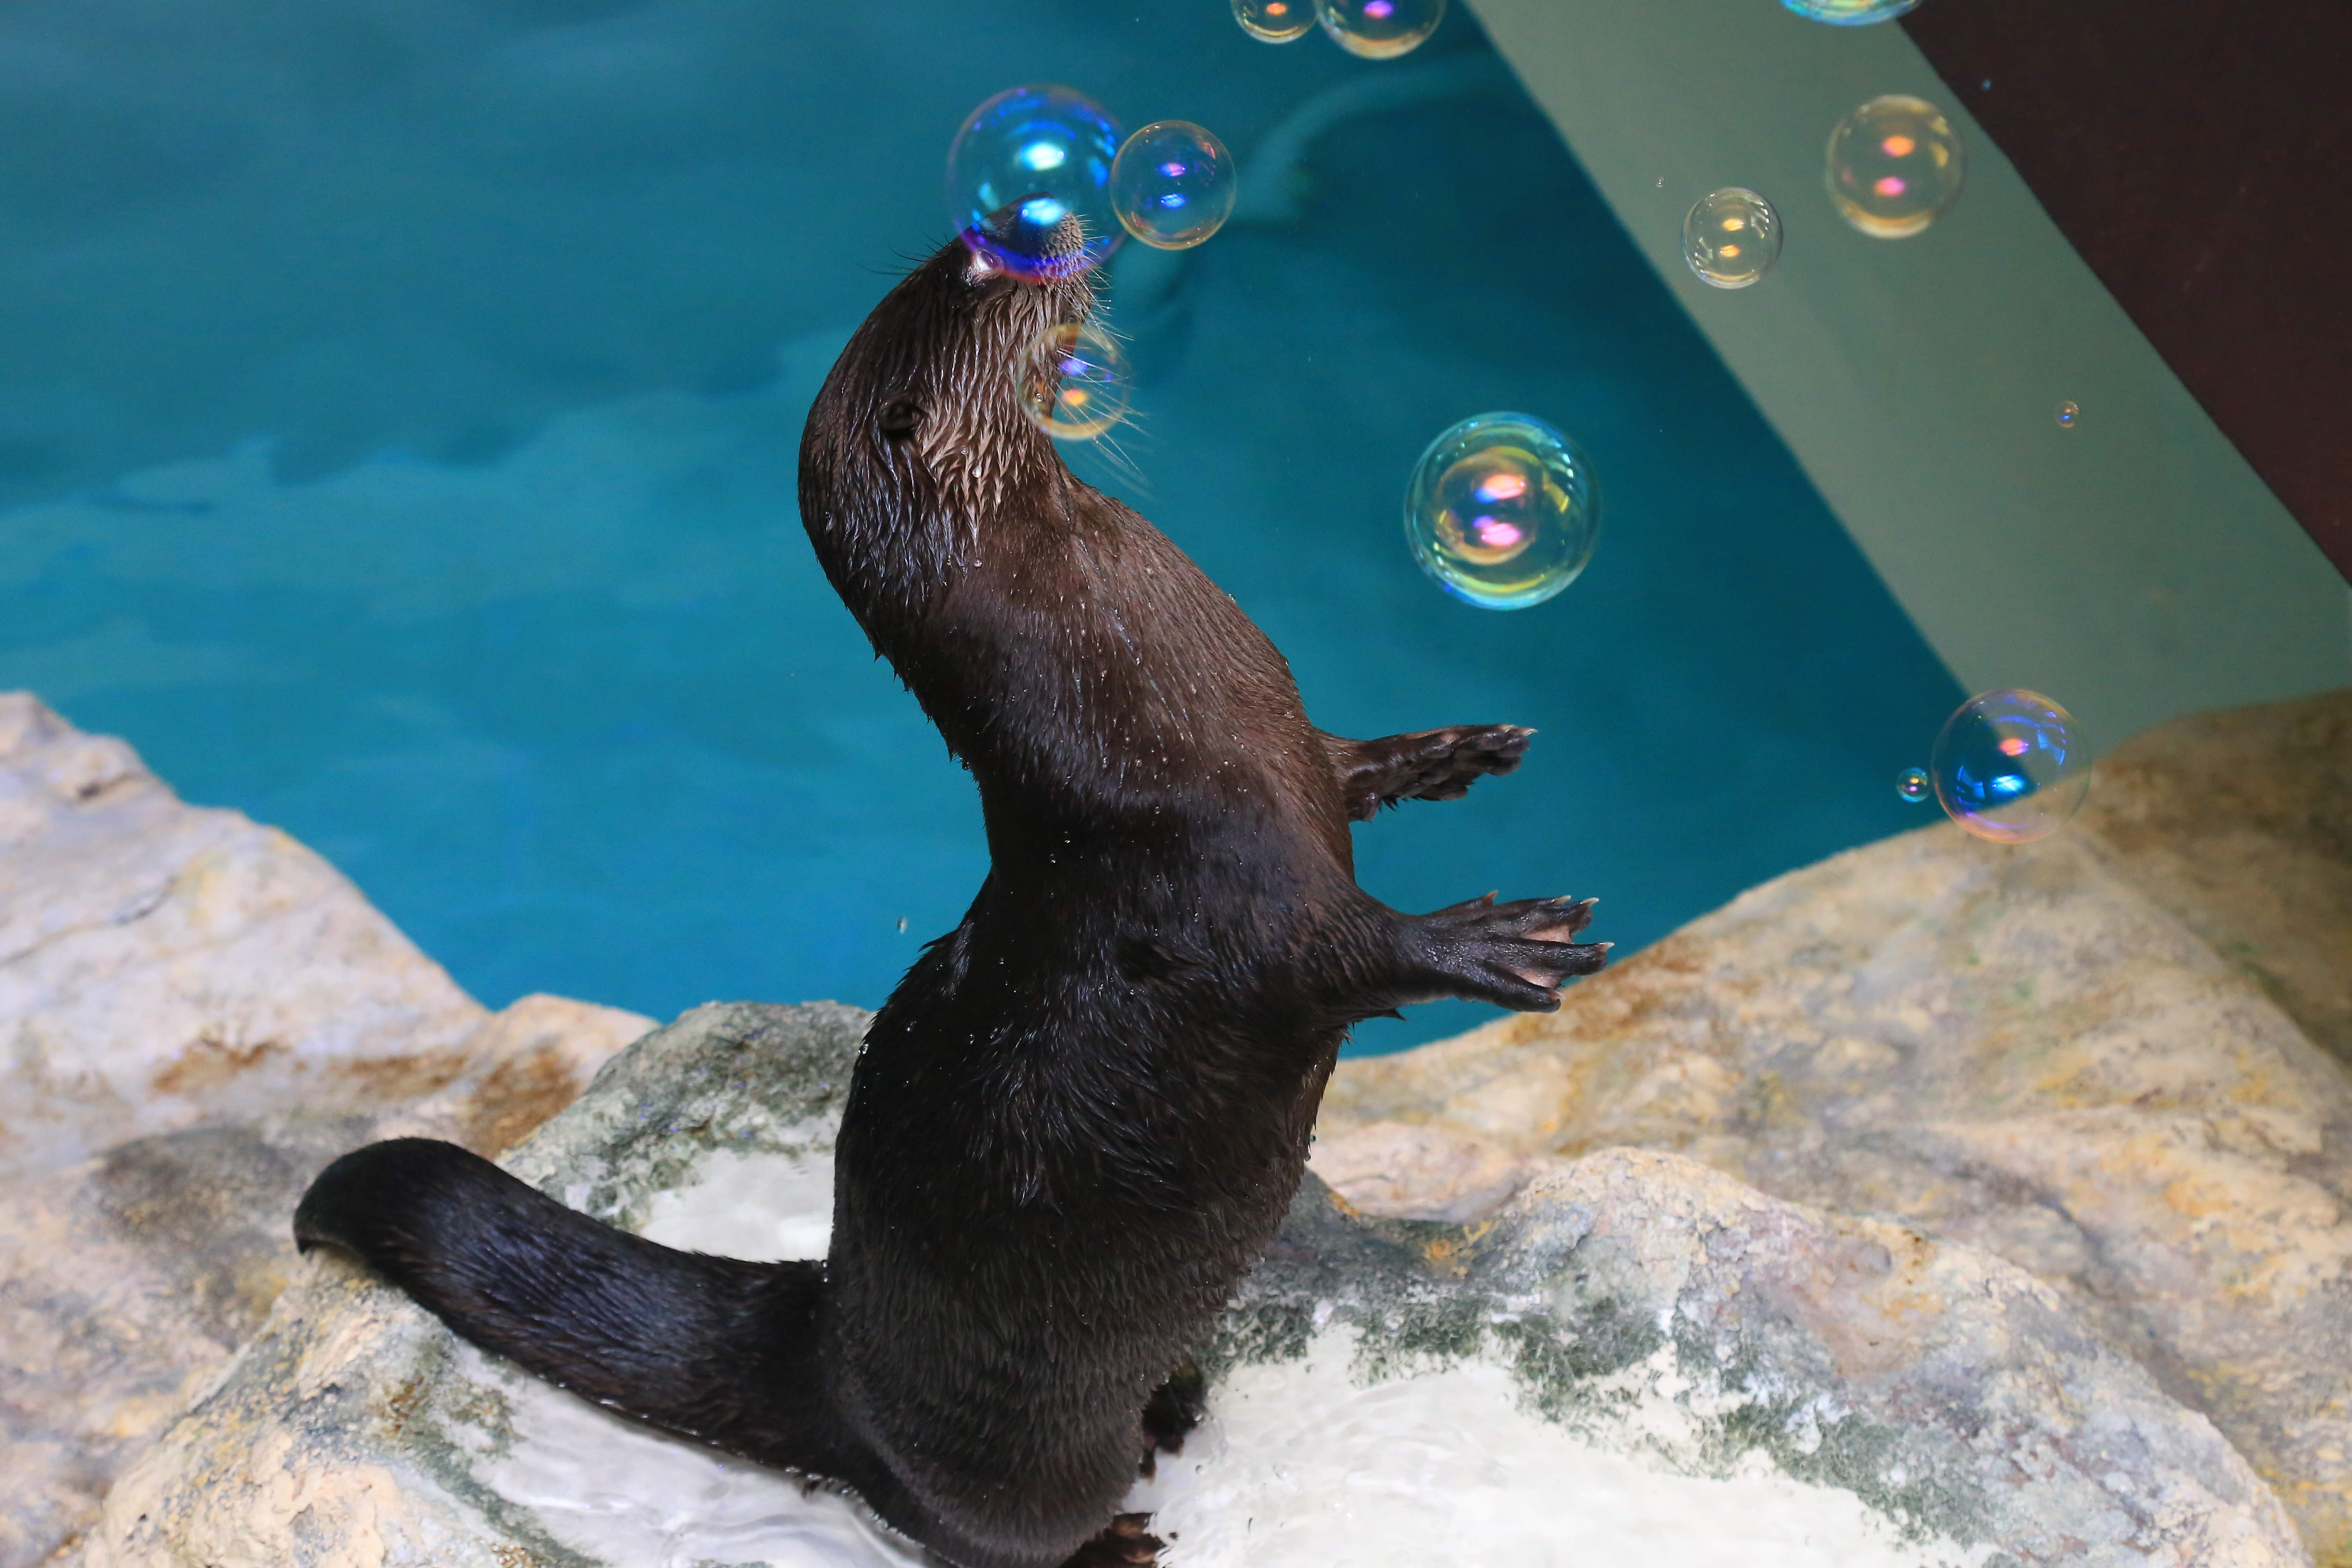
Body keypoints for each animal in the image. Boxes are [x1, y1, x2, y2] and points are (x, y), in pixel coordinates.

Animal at [294, 206, 1608, 1568]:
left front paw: (1450, 752)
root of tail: (821, 1349)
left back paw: (1181, 1399)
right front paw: (1499, 938)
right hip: (1008, 1465)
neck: (1149, 714)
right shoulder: (1215, 889)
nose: (1056, 217)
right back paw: (1121, 1531)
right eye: (989, 257)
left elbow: (1347, 774)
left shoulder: (1293, 761)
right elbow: (1342, 957)